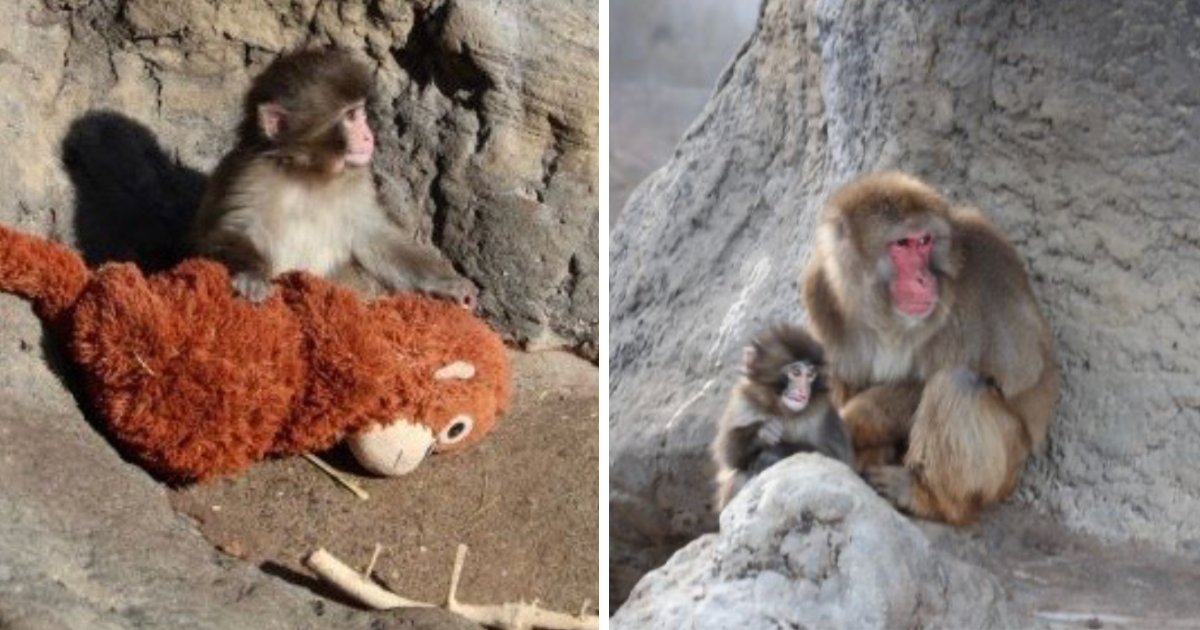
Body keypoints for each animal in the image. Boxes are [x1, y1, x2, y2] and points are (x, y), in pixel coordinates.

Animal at [190, 48, 475, 306]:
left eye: (360, 113)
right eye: (350, 116)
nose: (368, 136)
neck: (308, 174)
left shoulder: (357, 183)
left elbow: (376, 237)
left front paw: (449, 285)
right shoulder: (251, 175)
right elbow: (227, 232)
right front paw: (252, 274)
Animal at [711, 324, 854, 512]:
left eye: (810, 374)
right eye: (796, 372)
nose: (803, 390)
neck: (782, 409)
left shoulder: (823, 413)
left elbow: (838, 460)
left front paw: (775, 453)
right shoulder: (744, 401)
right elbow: (728, 455)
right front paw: (762, 432)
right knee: (740, 475)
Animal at [800, 170, 1060, 525]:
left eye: (923, 242)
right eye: (901, 244)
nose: (924, 279)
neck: (885, 313)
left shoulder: (989, 259)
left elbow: (1022, 374)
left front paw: (853, 419)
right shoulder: (820, 288)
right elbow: (839, 376)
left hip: (1008, 464)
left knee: (958, 383)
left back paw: (928, 497)